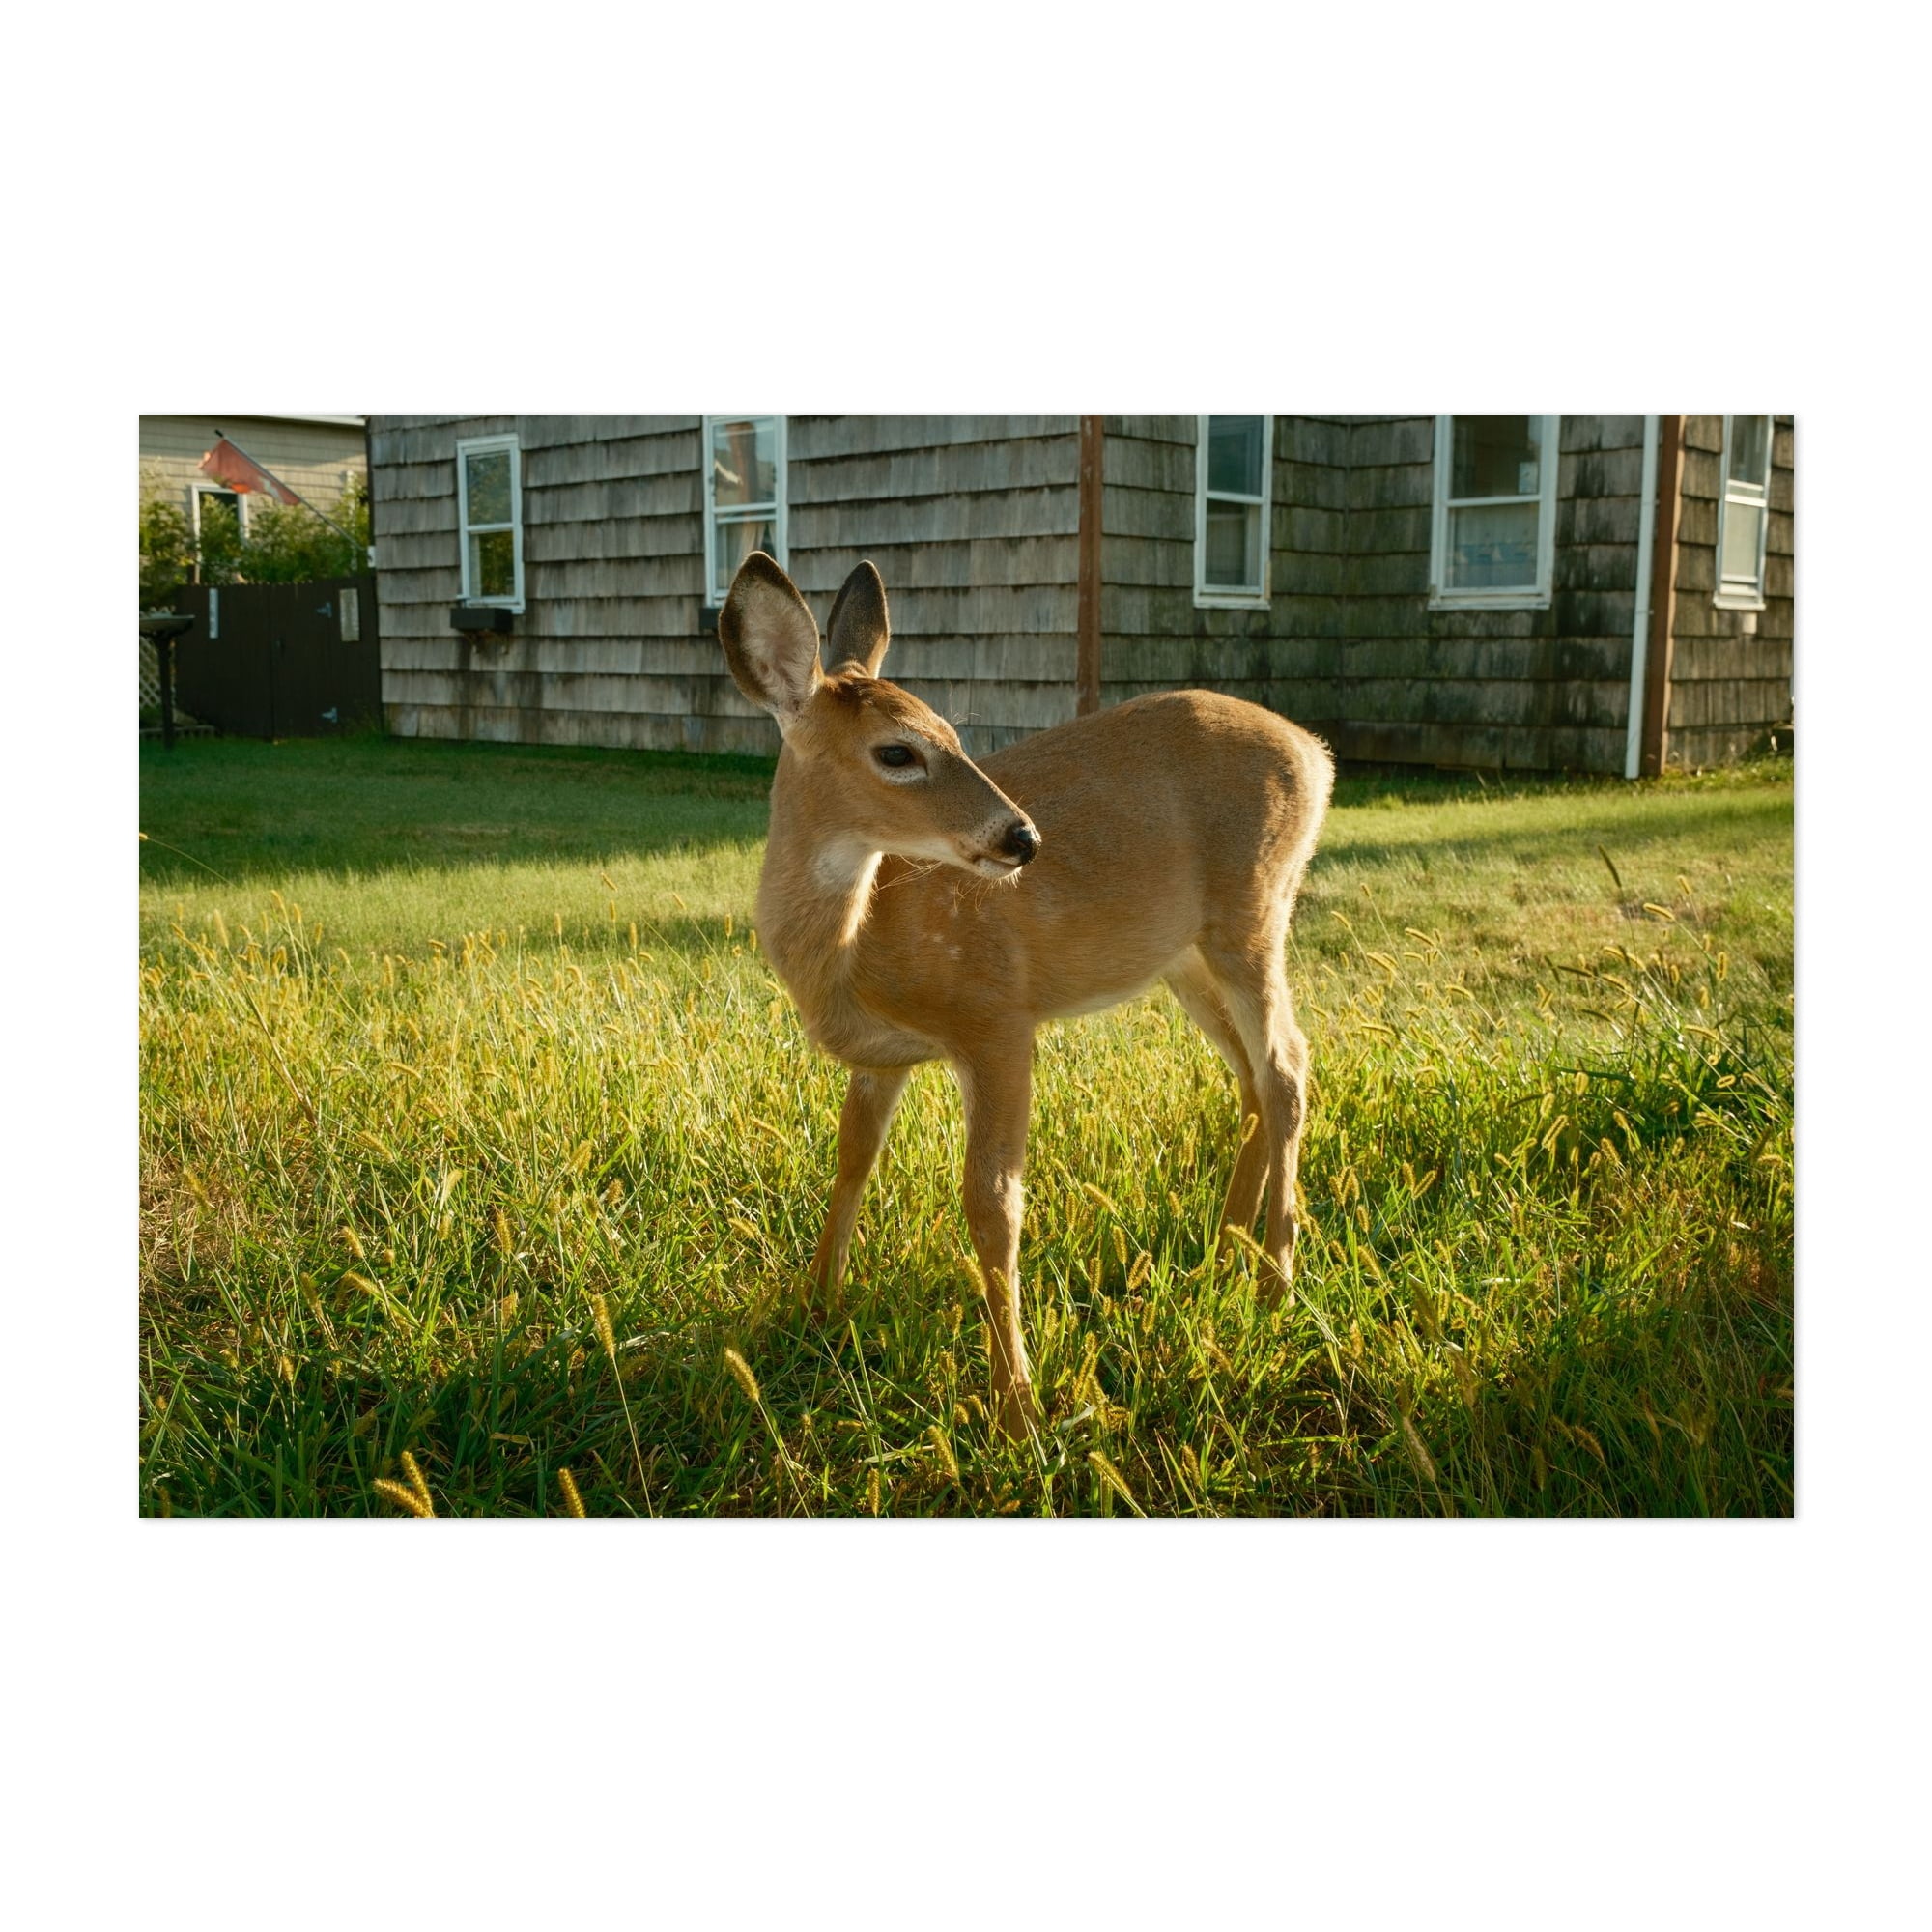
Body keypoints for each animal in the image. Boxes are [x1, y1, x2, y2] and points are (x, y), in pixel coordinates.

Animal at [717, 551, 1334, 1440]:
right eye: (897, 752)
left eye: (956, 736)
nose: (1023, 837)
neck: (855, 943)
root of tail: (1317, 754)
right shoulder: (882, 1058)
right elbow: (850, 1162)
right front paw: (816, 1306)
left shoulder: (997, 1021)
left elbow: (992, 1205)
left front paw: (1018, 1408)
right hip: (1182, 959)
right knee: (1252, 1076)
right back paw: (1224, 1251)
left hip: (1251, 914)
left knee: (1287, 1065)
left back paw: (1274, 1281)